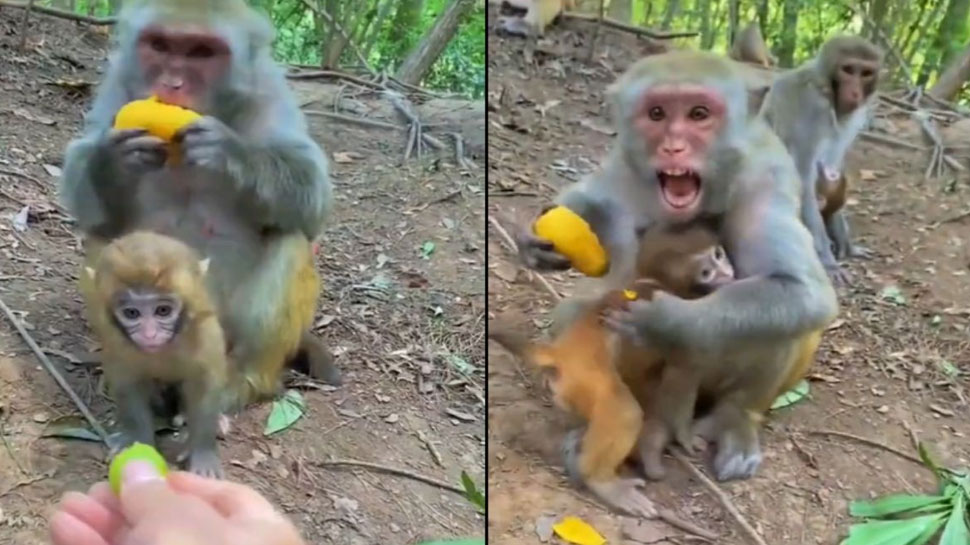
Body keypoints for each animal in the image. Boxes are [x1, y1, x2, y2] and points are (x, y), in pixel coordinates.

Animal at [59, 0, 342, 421]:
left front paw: (231, 154)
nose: (171, 84)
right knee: (104, 237)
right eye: (160, 45)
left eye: (202, 52)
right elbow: (86, 194)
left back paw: (241, 382)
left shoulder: (268, 92)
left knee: (289, 237)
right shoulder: (119, 80)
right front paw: (109, 161)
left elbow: (312, 192)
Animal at [82, 230, 229, 477]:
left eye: (163, 311)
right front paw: (137, 439)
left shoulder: (204, 333)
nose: (149, 334)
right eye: (132, 313)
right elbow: (128, 383)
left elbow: (205, 383)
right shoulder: (116, 340)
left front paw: (202, 451)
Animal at [514, 50, 839, 482]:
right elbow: (597, 207)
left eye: (699, 114)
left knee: (782, 326)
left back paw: (733, 421)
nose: (673, 148)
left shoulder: (764, 179)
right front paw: (536, 239)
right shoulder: (625, 164)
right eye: (657, 114)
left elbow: (800, 289)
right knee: (576, 314)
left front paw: (665, 322)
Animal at [759, 35, 883, 284]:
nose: (855, 92)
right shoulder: (812, 107)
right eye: (848, 69)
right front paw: (828, 261)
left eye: (865, 73)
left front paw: (847, 245)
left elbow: (833, 169)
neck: (826, 86)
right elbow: (803, 178)